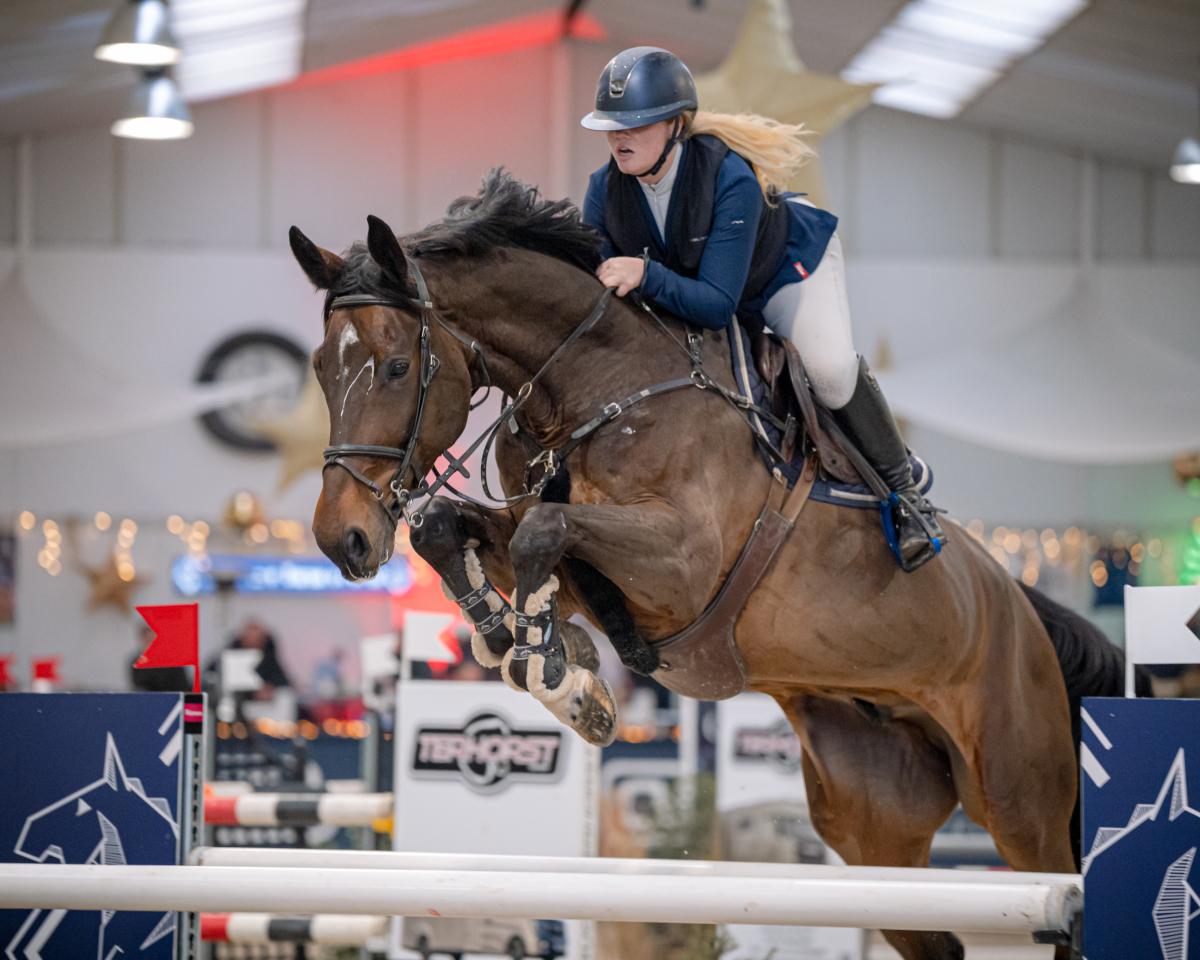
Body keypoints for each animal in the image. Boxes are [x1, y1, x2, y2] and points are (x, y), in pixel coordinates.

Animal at [289, 171, 1129, 960]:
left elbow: (544, 536)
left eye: (398, 368)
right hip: (870, 817)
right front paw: (532, 651)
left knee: (1053, 885)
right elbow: (451, 529)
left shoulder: (681, 564)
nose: (341, 540)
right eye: (322, 368)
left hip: (1019, 798)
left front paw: (555, 672)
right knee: (933, 933)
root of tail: (1019, 605)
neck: (597, 387)